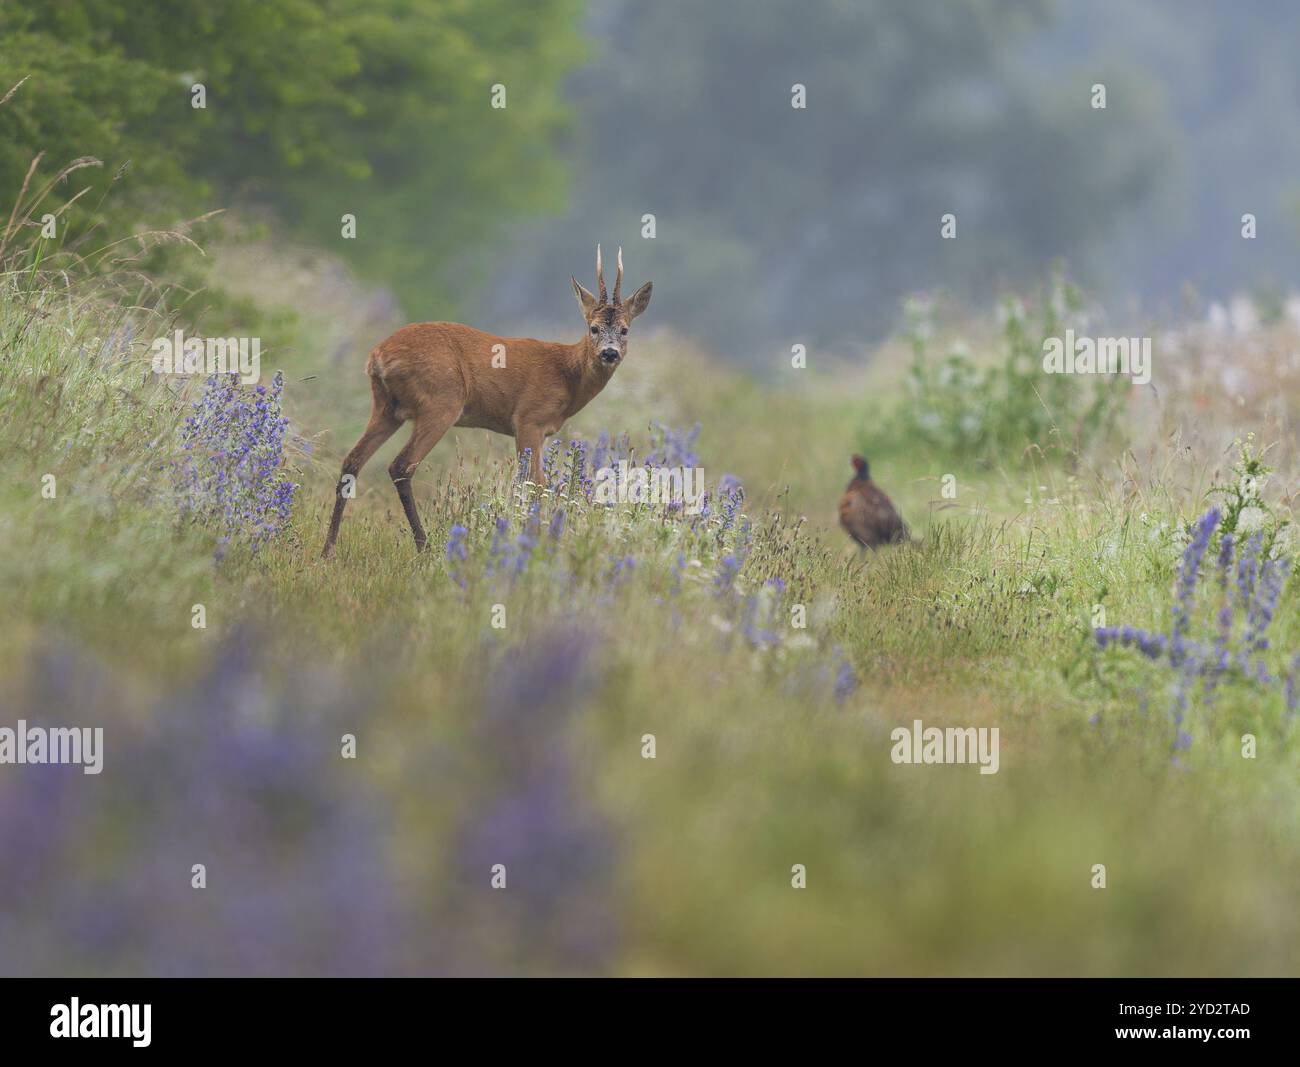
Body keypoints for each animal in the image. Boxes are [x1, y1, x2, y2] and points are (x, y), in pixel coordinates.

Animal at [322, 246, 652, 558]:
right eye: (593, 328)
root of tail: (377, 356)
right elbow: (535, 482)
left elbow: (537, 482)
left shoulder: (542, 430)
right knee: (400, 465)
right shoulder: (529, 419)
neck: (568, 375)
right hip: (441, 402)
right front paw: (533, 542)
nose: (609, 353)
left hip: (386, 407)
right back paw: (424, 547)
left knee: (352, 460)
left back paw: (328, 550)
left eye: (625, 329)